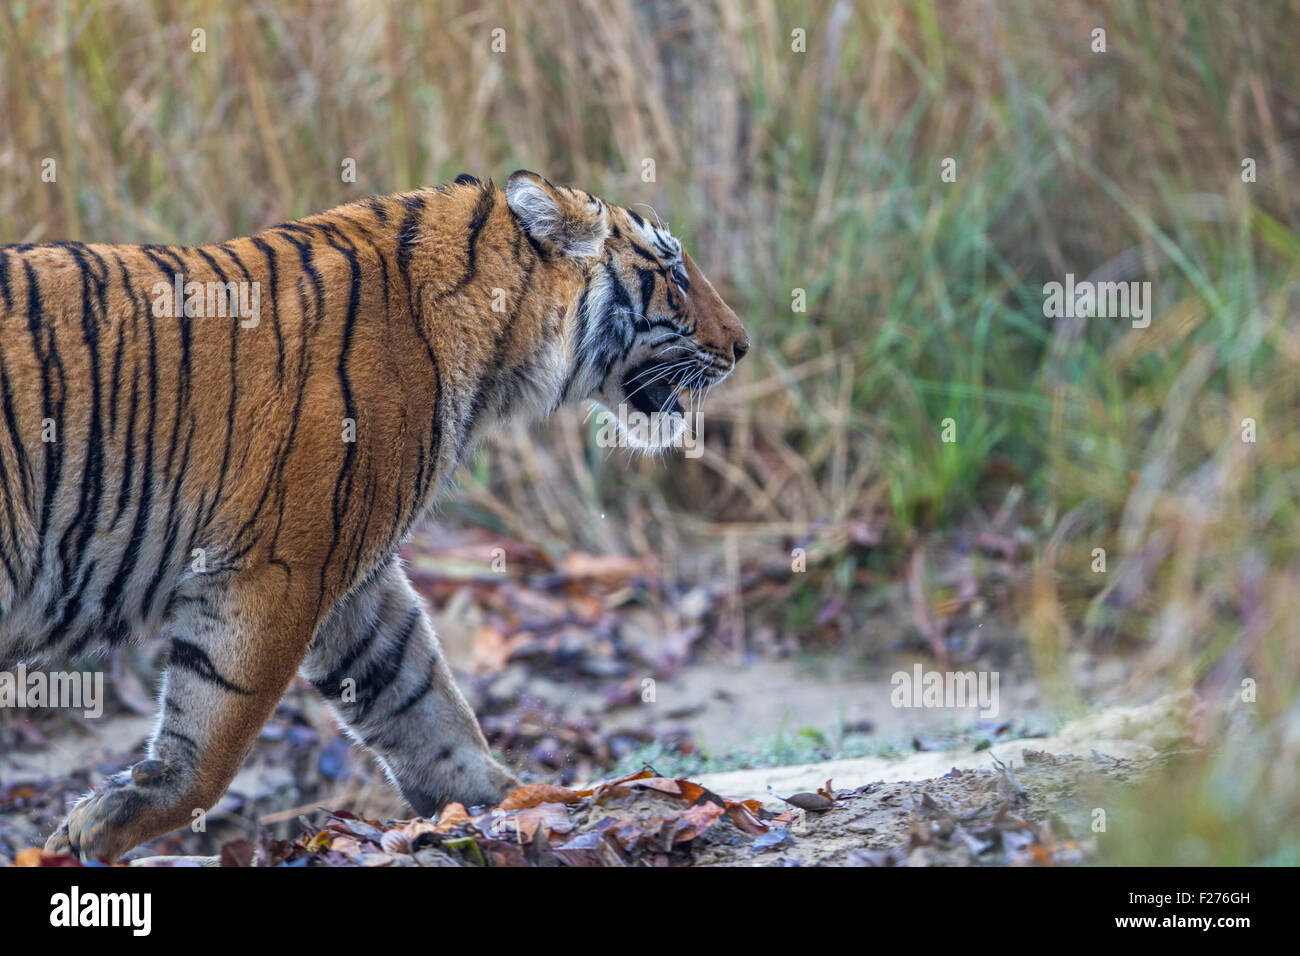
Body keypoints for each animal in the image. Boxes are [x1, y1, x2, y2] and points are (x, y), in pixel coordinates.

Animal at [0, 170, 749, 862]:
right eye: (675, 274)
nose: (742, 345)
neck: (498, 344)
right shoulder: (280, 567)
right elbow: (217, 730)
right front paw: (107, 821)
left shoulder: (354, 574)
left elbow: (420, 697)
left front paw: (511, 800)